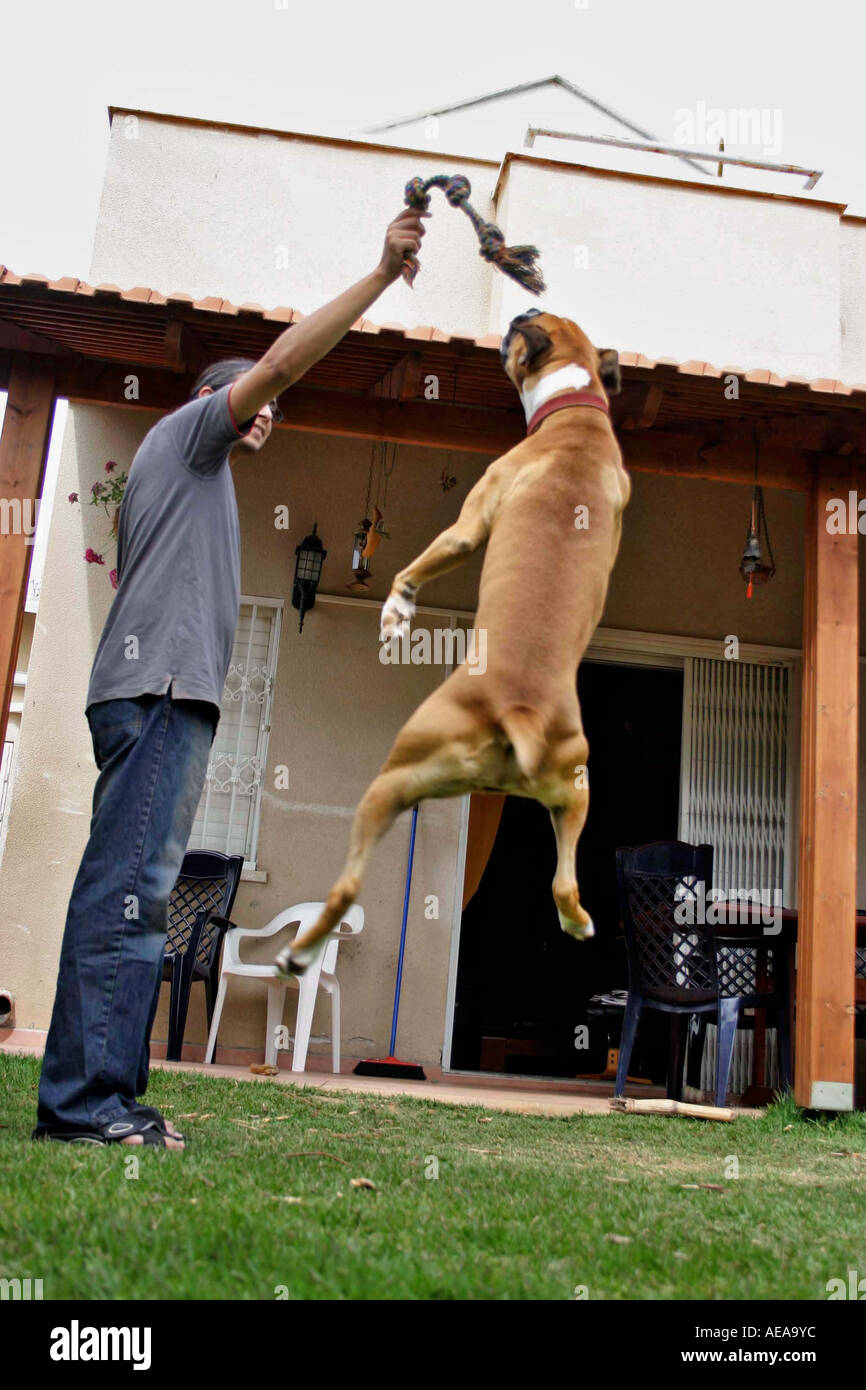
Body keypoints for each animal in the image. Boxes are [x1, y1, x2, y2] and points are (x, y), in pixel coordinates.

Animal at [278, 308, 631, 973]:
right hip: (576, 790)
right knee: (562, 883)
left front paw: (396, 612)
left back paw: (297, 956)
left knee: (345, 889)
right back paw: (578, 923)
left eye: (528, 323)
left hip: (388, 782)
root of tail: (517, 711)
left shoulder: (468, 526)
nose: (517, 314)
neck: (578, 414)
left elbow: (417, 565)